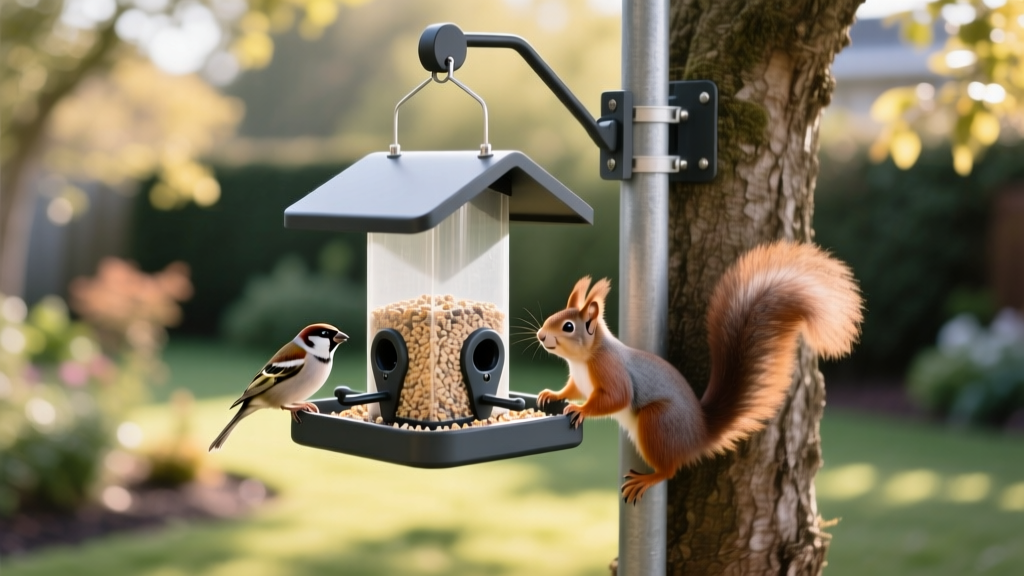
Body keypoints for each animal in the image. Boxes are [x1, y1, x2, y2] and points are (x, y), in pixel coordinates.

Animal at [536, 241, 863, 503]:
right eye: (555, 316)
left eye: (568, 326)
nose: (540, 335)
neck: (582, 360)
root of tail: (699, 433)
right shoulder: (580, 381)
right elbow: (571, 389)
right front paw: (551, 394)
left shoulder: (610, 370)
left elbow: (617, 397)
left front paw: (581, 410)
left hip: (658, 422)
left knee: (670, 469)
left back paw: (647, 478)